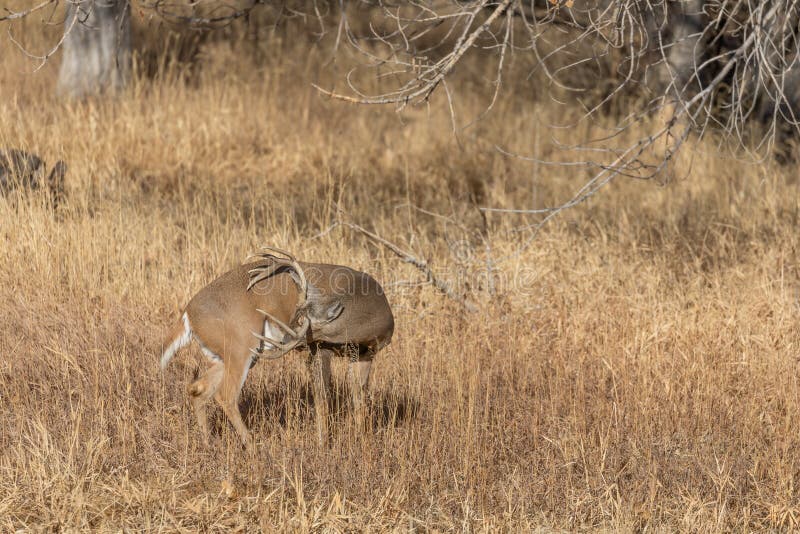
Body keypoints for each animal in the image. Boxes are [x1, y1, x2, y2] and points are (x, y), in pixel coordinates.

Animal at [160, 247, 394, 449]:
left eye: (299, 320)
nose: (283, 338)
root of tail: (188, 314)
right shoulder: (320, 348)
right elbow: (323, 398)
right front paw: (323, 445)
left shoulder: (365, 354)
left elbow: (359, 398)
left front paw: (360, 440)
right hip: (240, 345)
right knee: (226, 395)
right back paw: (254, 448)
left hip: (228, 355)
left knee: (198, 388)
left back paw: (208, 443)